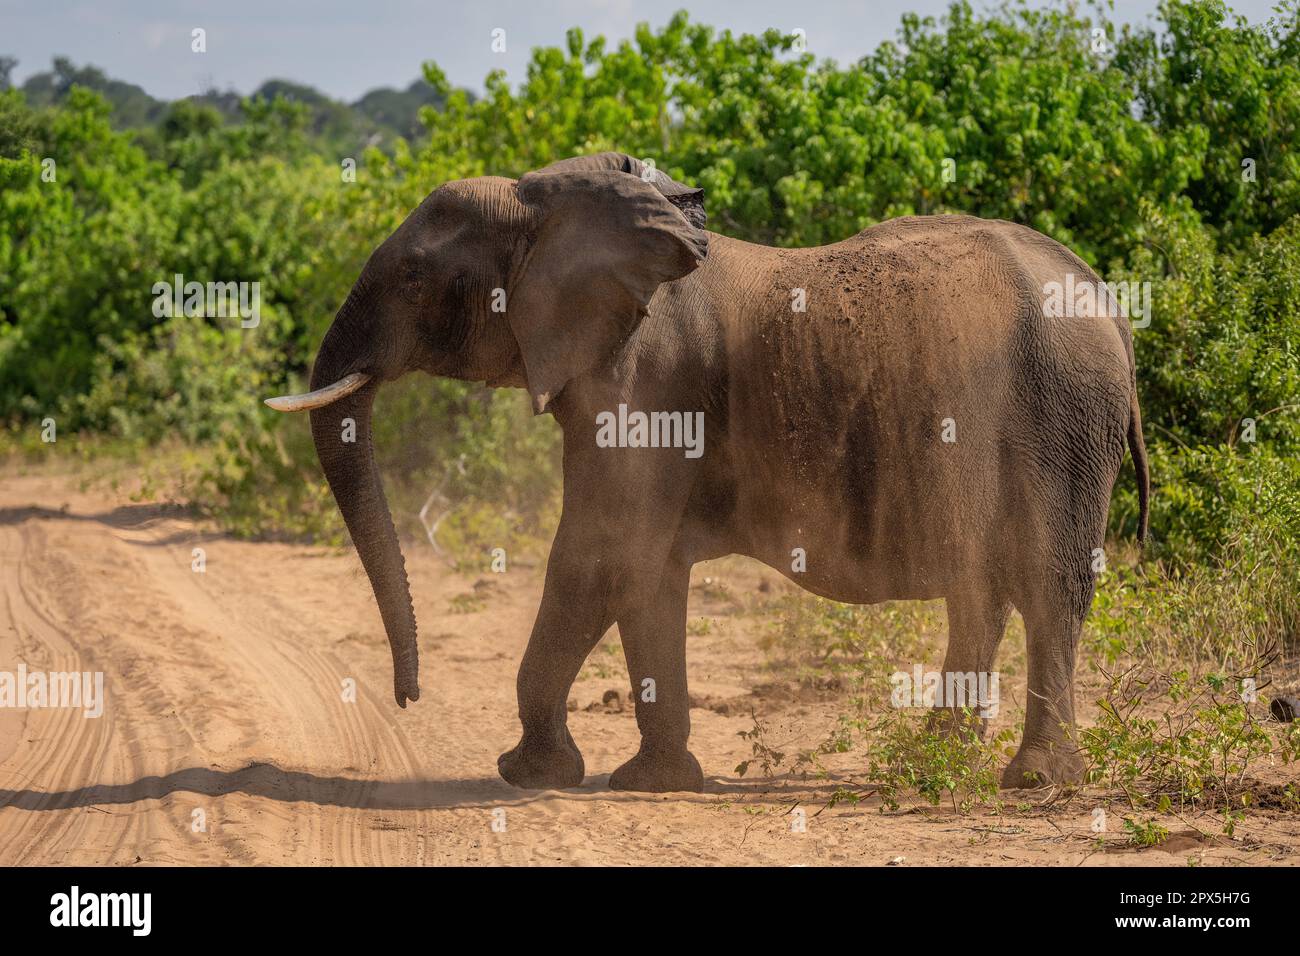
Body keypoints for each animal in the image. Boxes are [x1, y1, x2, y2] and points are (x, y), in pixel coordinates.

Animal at [266, 152, 1150, 793]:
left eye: (415, 277)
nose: (406, 697)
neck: (548, 199)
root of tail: (1110, 306)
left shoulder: (646, 381)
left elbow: (599, 559)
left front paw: (528, 775)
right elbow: (647, 575)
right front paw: (651, 783)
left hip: (1061, 411)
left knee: (1047, 586)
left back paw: (1033, 783)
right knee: (983, 590)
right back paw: (931, 765)